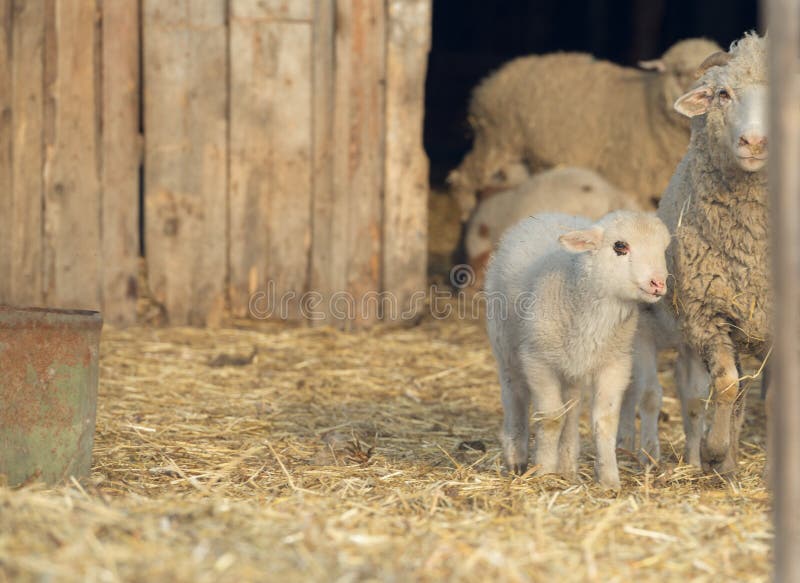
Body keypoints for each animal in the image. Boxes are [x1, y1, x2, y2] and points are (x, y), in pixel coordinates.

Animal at [448, 38, 722, 221]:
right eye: (678, 72)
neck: (649, 108)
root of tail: (491, 81)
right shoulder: (625, 179)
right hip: (495, 138)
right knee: (464, 177)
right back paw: (466, 217)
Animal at [485, 211, 670, 488]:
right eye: (620, 246)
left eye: (664, 249)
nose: (658, 283)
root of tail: (545, 214)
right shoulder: (538, 361)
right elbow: (551, 418)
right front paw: (543, 471)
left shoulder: (614, 364)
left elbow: (605, 421)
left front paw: (609, 479)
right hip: (505, 344)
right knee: (514, 394)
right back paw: (516, 457)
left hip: (572, 368)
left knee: (571, 408)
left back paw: (567, 465)